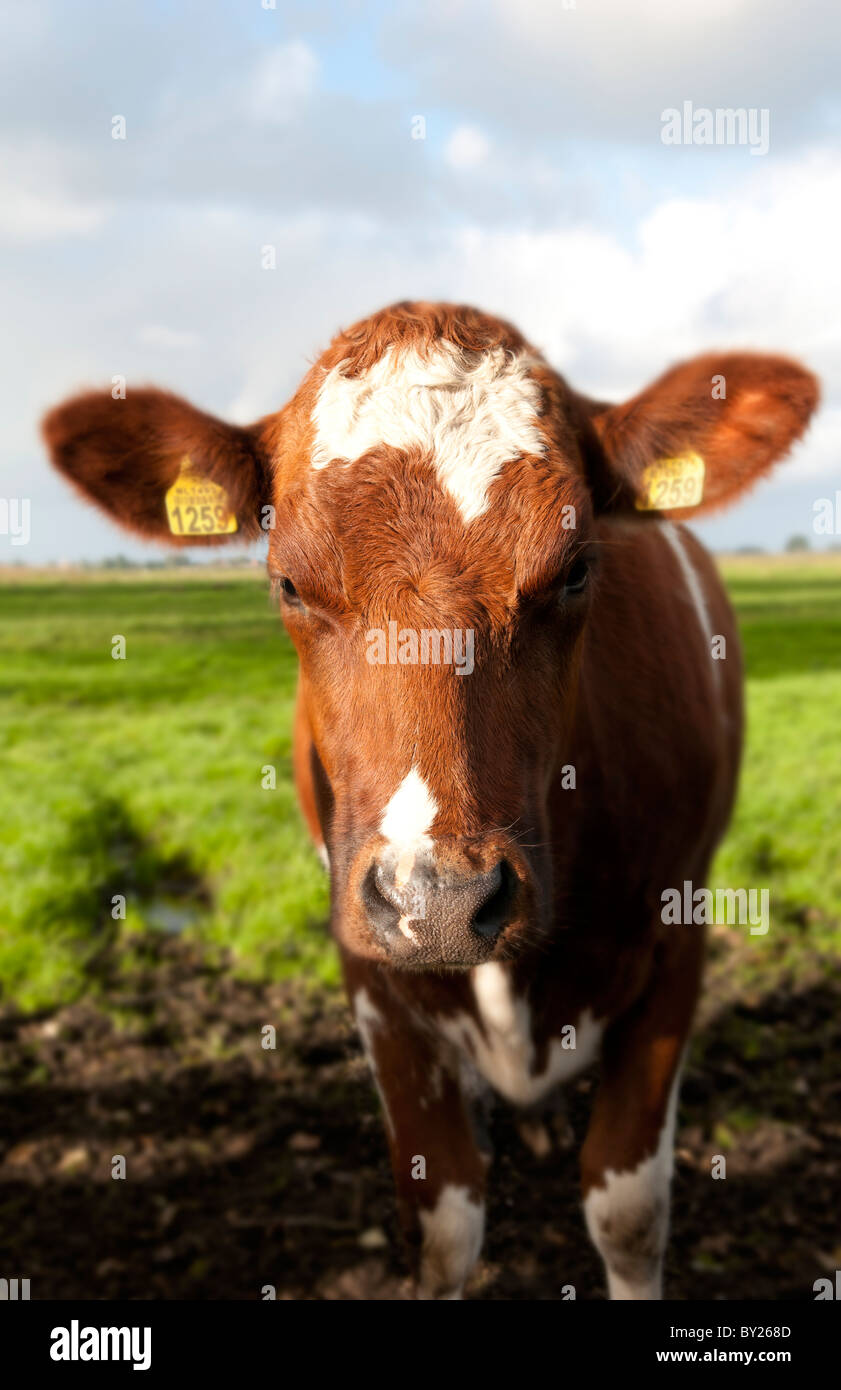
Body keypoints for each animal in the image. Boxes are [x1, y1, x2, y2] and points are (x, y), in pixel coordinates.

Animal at [42, 301, 818, 1300]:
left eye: (576, 569)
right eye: (287, 583)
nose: (441, 899)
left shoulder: (676, 941)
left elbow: (629, 1211)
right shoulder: (373, 973)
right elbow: (444, 1223)